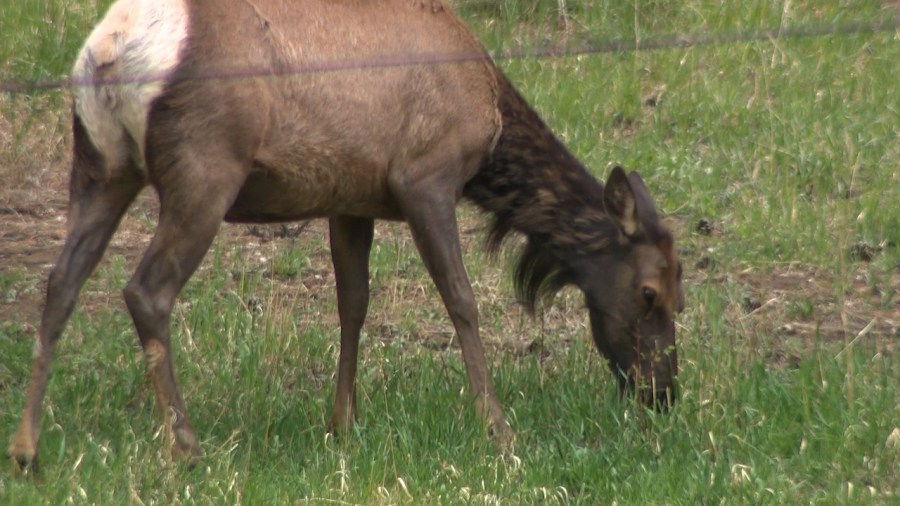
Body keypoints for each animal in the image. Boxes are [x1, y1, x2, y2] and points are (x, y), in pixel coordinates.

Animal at [9, 0, 684, 471]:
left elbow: (352, 305)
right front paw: (497, 429)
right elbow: (461, 300)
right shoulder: (424, 176)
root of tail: (109, 49)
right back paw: (186, 446)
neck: (489, 127)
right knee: (146, 290)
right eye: (651, 292)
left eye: (682, 295)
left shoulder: (350, 200)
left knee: (60, 282)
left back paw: (26, 449)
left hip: (101, 164)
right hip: (205, 169)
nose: (663, 393)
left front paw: (342, 425)